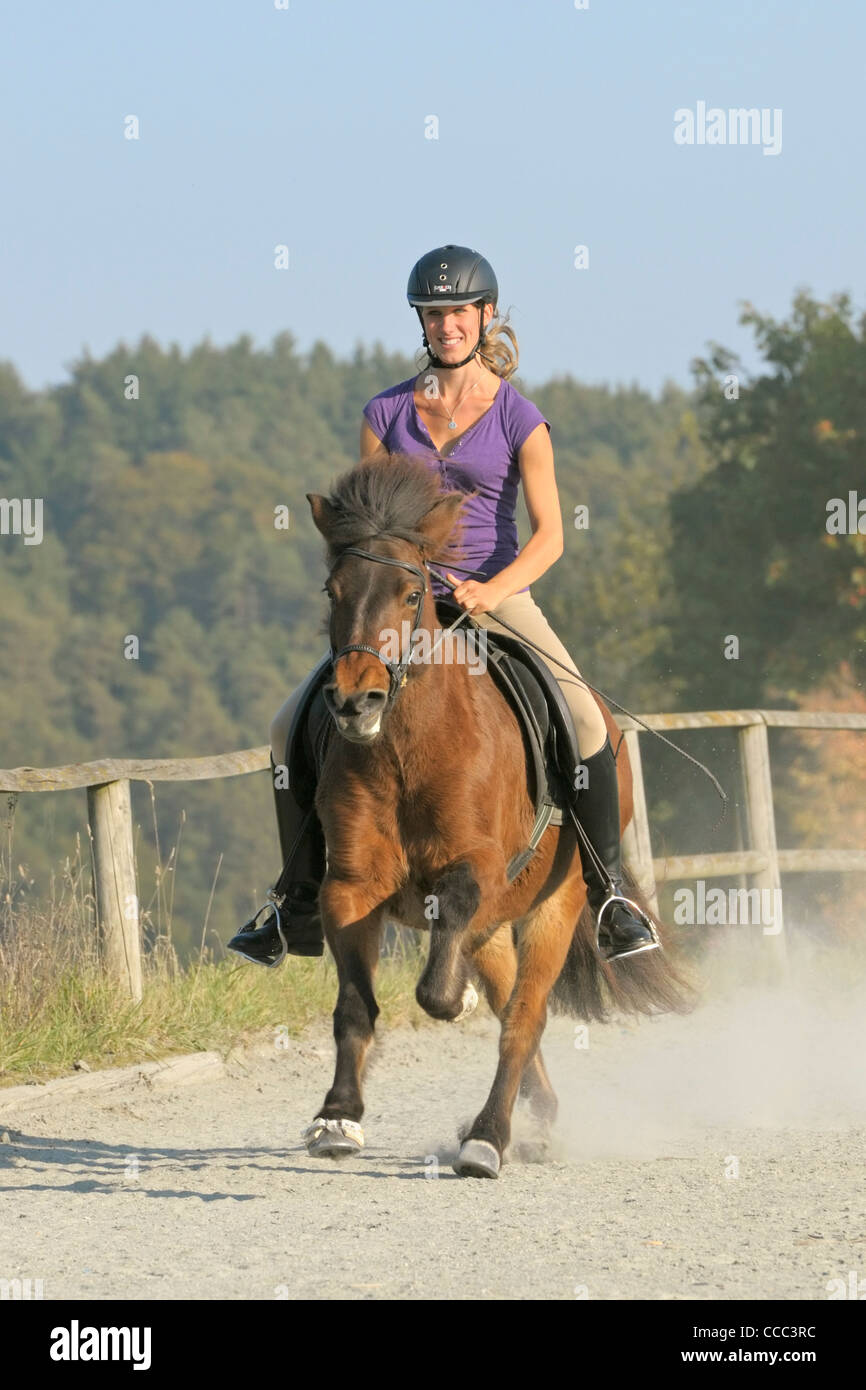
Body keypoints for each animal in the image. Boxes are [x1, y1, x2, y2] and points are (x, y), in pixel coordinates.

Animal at [301, 452, 693, 1178]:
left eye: (410, 596)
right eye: (332, 591)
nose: (355, 702)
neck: (407, 747)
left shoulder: (478, 866)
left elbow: (444, 984)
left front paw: (446, 999)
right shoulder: (351, 886)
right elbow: (354, 1007)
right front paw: (337, 1117)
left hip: (557, 904)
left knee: (523, 1018)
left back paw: (488, 1138)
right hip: (498, 925)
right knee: (510, 1002)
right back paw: (532, 1124)